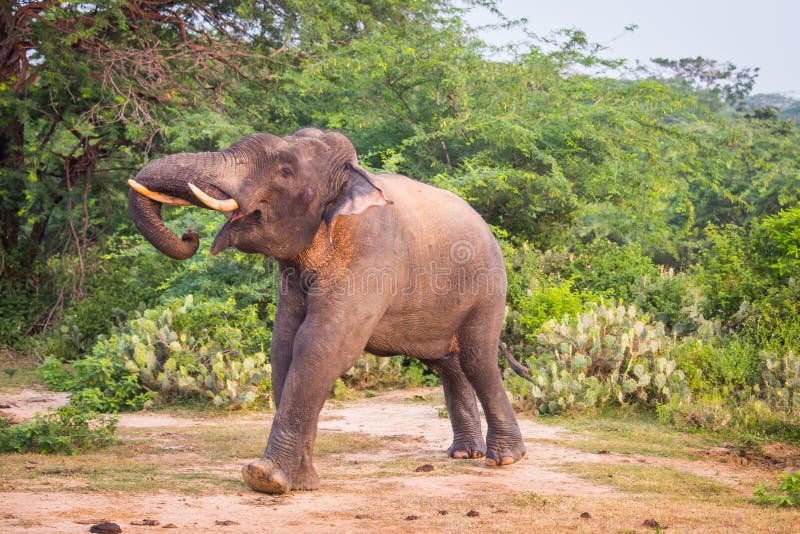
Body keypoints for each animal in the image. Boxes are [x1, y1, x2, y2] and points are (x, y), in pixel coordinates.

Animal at [127, 128, 526, 494]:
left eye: (285, 171)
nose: (190, 235)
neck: (352, 177)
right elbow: (284, 345)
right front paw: (299, 483)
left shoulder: (372, 257)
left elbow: (321, 346)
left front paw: (266, 479)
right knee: (447, 364)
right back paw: (464, 453)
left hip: (488, 287)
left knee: (477, 358)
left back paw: (505, 459)